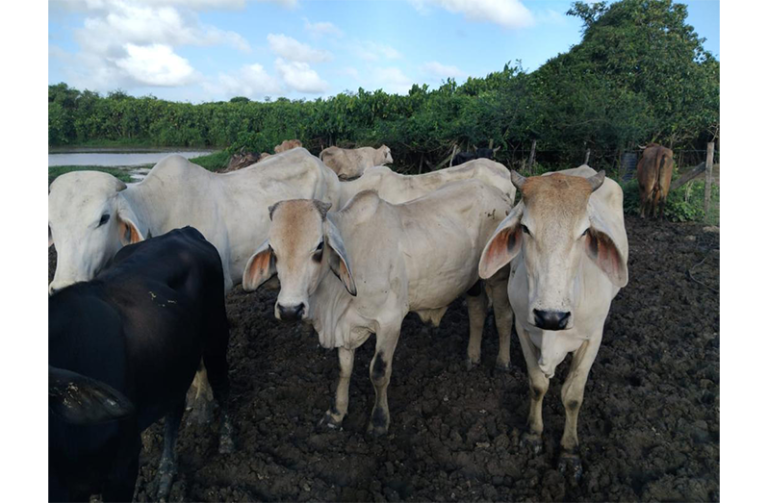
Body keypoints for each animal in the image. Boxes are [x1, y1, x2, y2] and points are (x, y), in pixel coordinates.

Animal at [48, 228, 234, 503]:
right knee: (174, 406)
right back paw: (165, 473)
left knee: (221, 381)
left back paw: (227, 439)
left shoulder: (124, 464)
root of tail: (181, 231)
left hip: (215, 333)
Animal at [241, 180, 515, 435]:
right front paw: (336, 413)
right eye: (273, 249)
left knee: (503, 316)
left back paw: (502, 364)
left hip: (498, 277)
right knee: (477, 310)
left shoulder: (390, 322)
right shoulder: (345, 327)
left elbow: (379, 372)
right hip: (473, 280)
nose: (290, 310)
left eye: (319, 247)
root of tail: (498, 194)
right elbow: (344, 369)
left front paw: (379, 422)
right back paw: (472, 357)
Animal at [479, 166, 629, 480]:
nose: (551, 316)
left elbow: (572, 396)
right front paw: (533, 435)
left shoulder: (592, 338)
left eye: (584, 231)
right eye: (525, 228)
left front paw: (569, 452)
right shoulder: (523, 330)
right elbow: (537, 385)